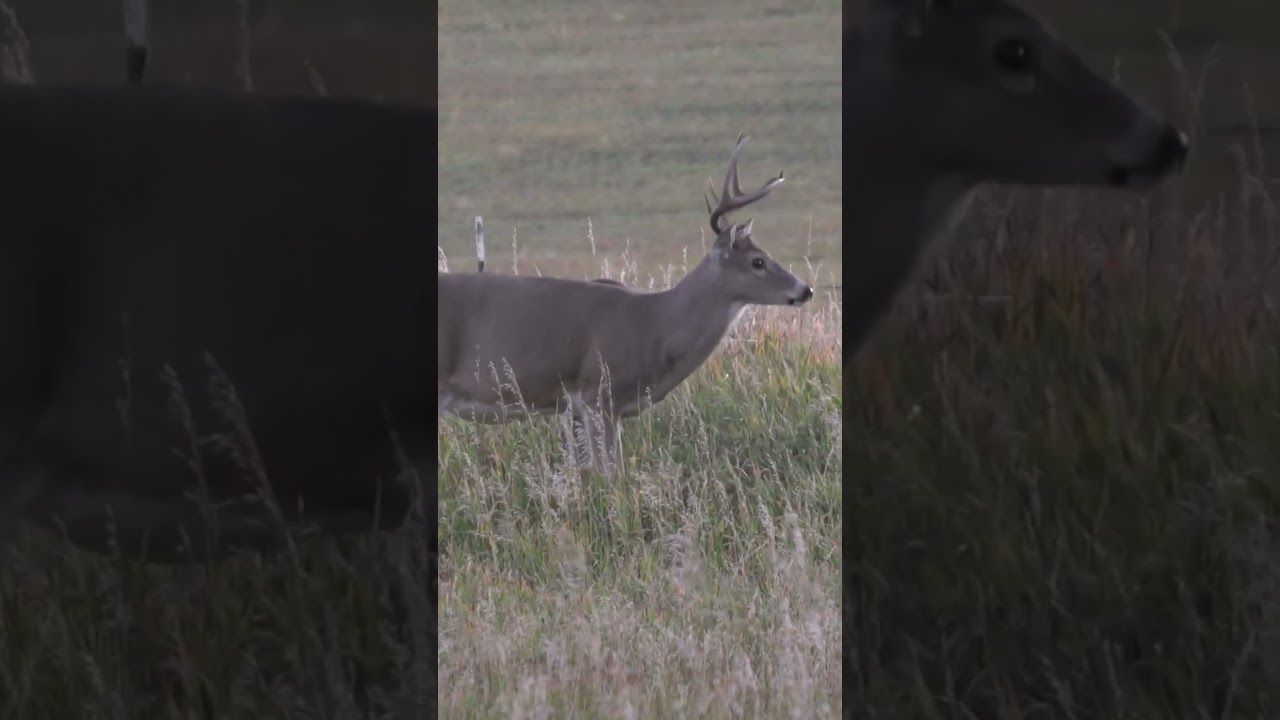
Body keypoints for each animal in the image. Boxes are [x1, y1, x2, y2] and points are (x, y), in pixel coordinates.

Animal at [438, 134, 814, 474]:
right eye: (757, 262)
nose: (806, 289)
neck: (654, 324)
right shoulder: (598, 394)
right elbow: (611, 475)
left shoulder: (579, 408)